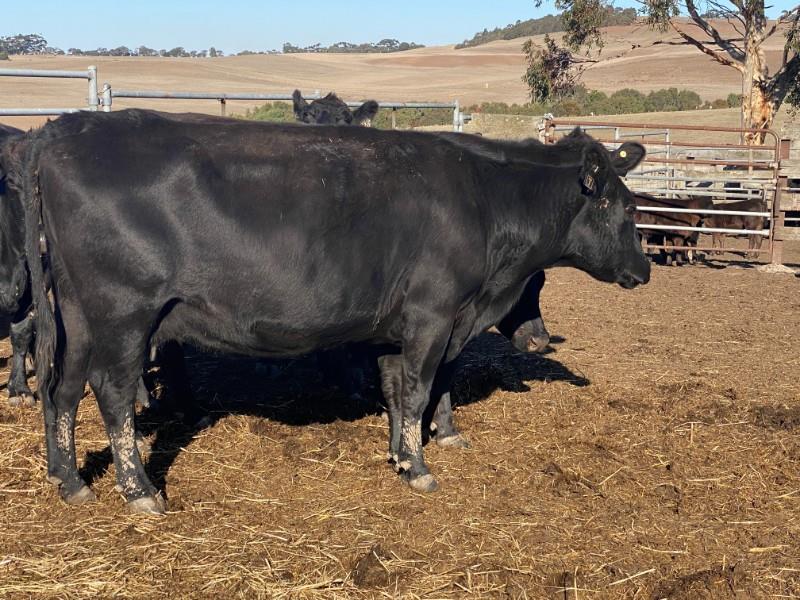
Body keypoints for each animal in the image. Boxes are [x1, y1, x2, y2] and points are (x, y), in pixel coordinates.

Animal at [2, 109, 648, 513]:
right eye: (618, 204)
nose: (643, 271)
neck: (483, 198)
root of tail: (62, 129)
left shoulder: (404, 328)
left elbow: (401, 390)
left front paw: (401, 452)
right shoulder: (435, 315)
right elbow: (421, 388)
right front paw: (419, 467)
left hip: (78, 311)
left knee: (63, 387)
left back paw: (68, 479)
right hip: (126, 311)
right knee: (111, 393)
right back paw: (139, 491)